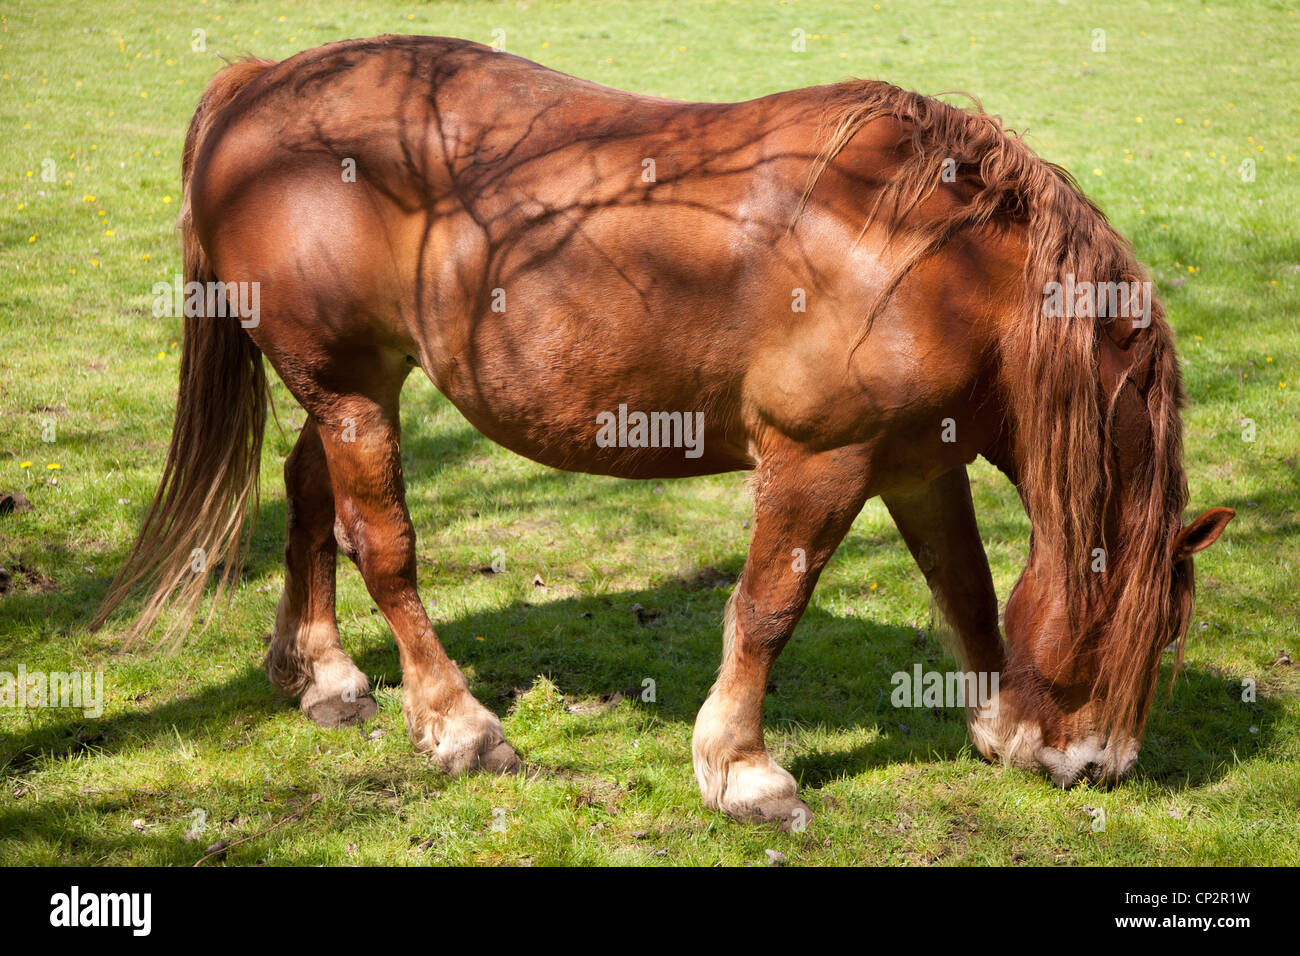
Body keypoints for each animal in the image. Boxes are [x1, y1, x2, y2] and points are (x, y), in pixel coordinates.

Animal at [94, 35, 1234, 824]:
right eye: (1129, 628)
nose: (1094, 769)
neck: (937, 260)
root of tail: (261, 83)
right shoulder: (818, 463)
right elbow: (767, 609)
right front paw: (744, 771)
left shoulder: (916, 468)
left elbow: (966, 589)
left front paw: (994, 722)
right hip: (351, 391)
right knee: (383, 545)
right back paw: (458, 724)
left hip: (349, 390)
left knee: (306, 497)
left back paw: (323, 676)